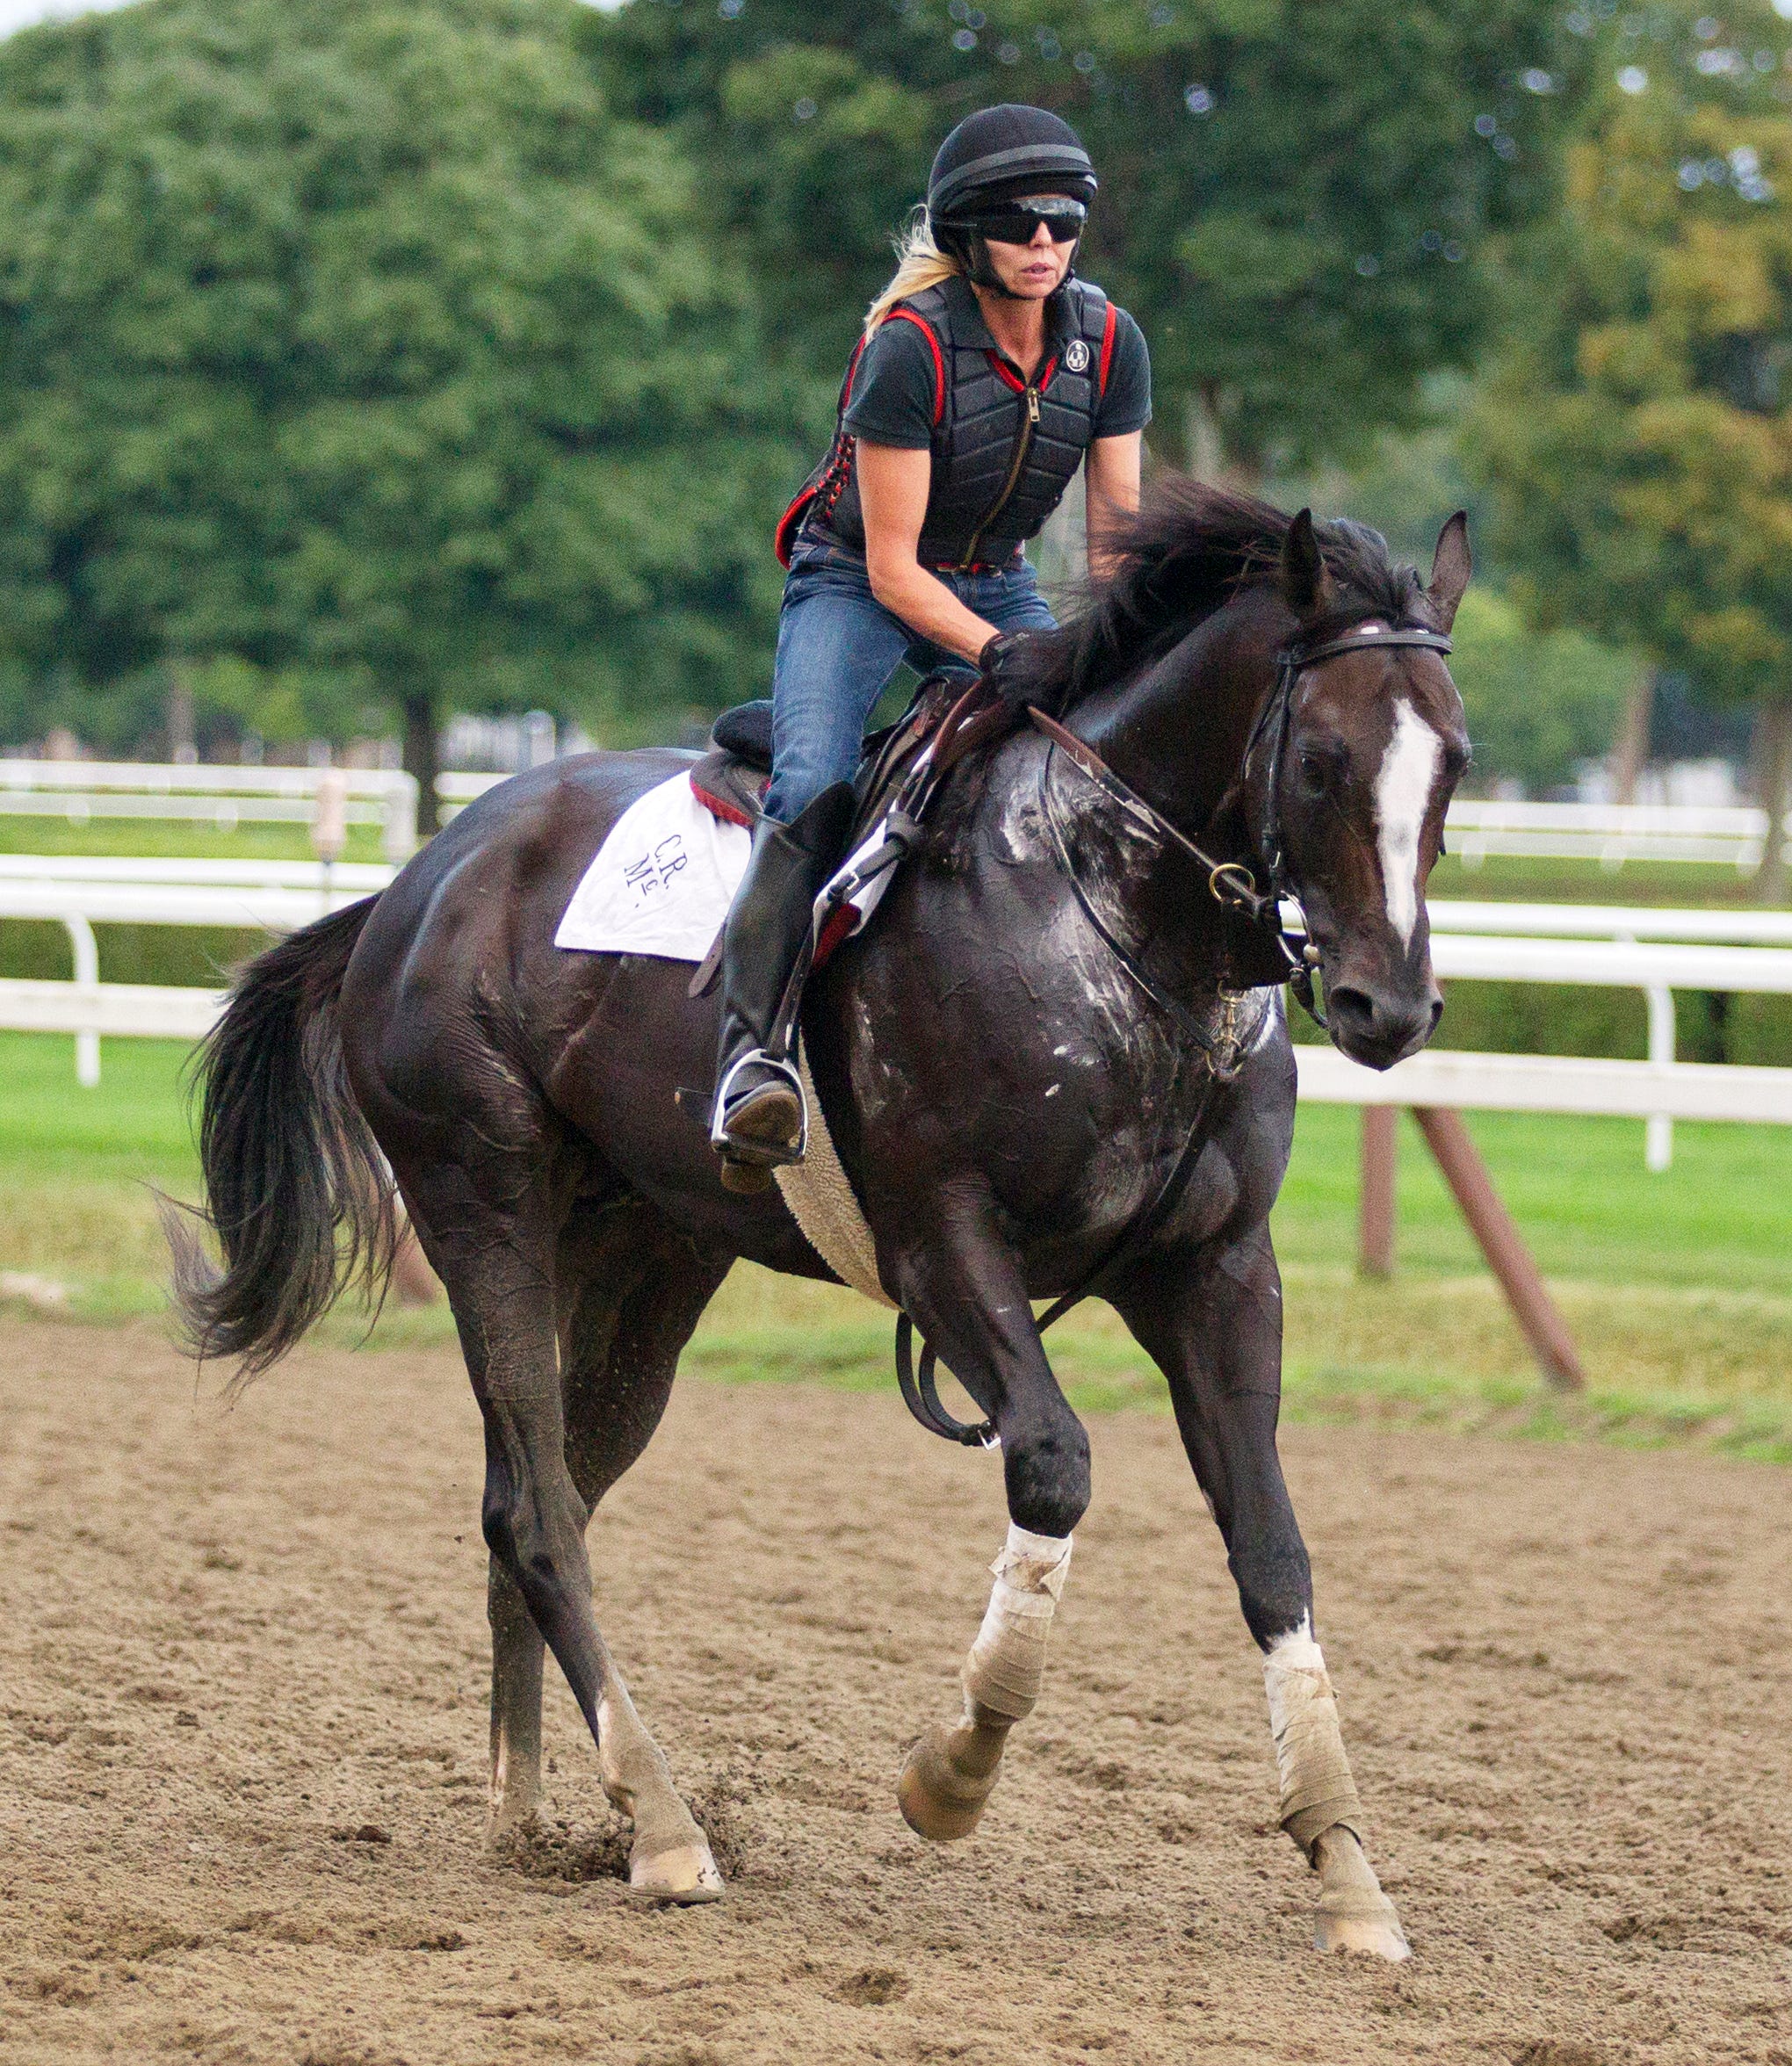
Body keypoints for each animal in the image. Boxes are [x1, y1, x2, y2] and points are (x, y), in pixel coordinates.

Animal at [170, 485, 1470, 1960]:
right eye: (1322, 758)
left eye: (1456, 763)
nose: (1388, 1005)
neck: (1111, 918)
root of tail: (415, 882)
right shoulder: (945, 1246)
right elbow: (1055, 1465)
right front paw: (953, 1773)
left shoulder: (1217, 1273)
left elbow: (1269, 1540)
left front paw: (1347, 1870)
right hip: (480, 1203)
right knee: (539, 1510)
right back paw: (663, 1826)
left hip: (648, 1258)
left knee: (541, 1498)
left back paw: (534, 1813)